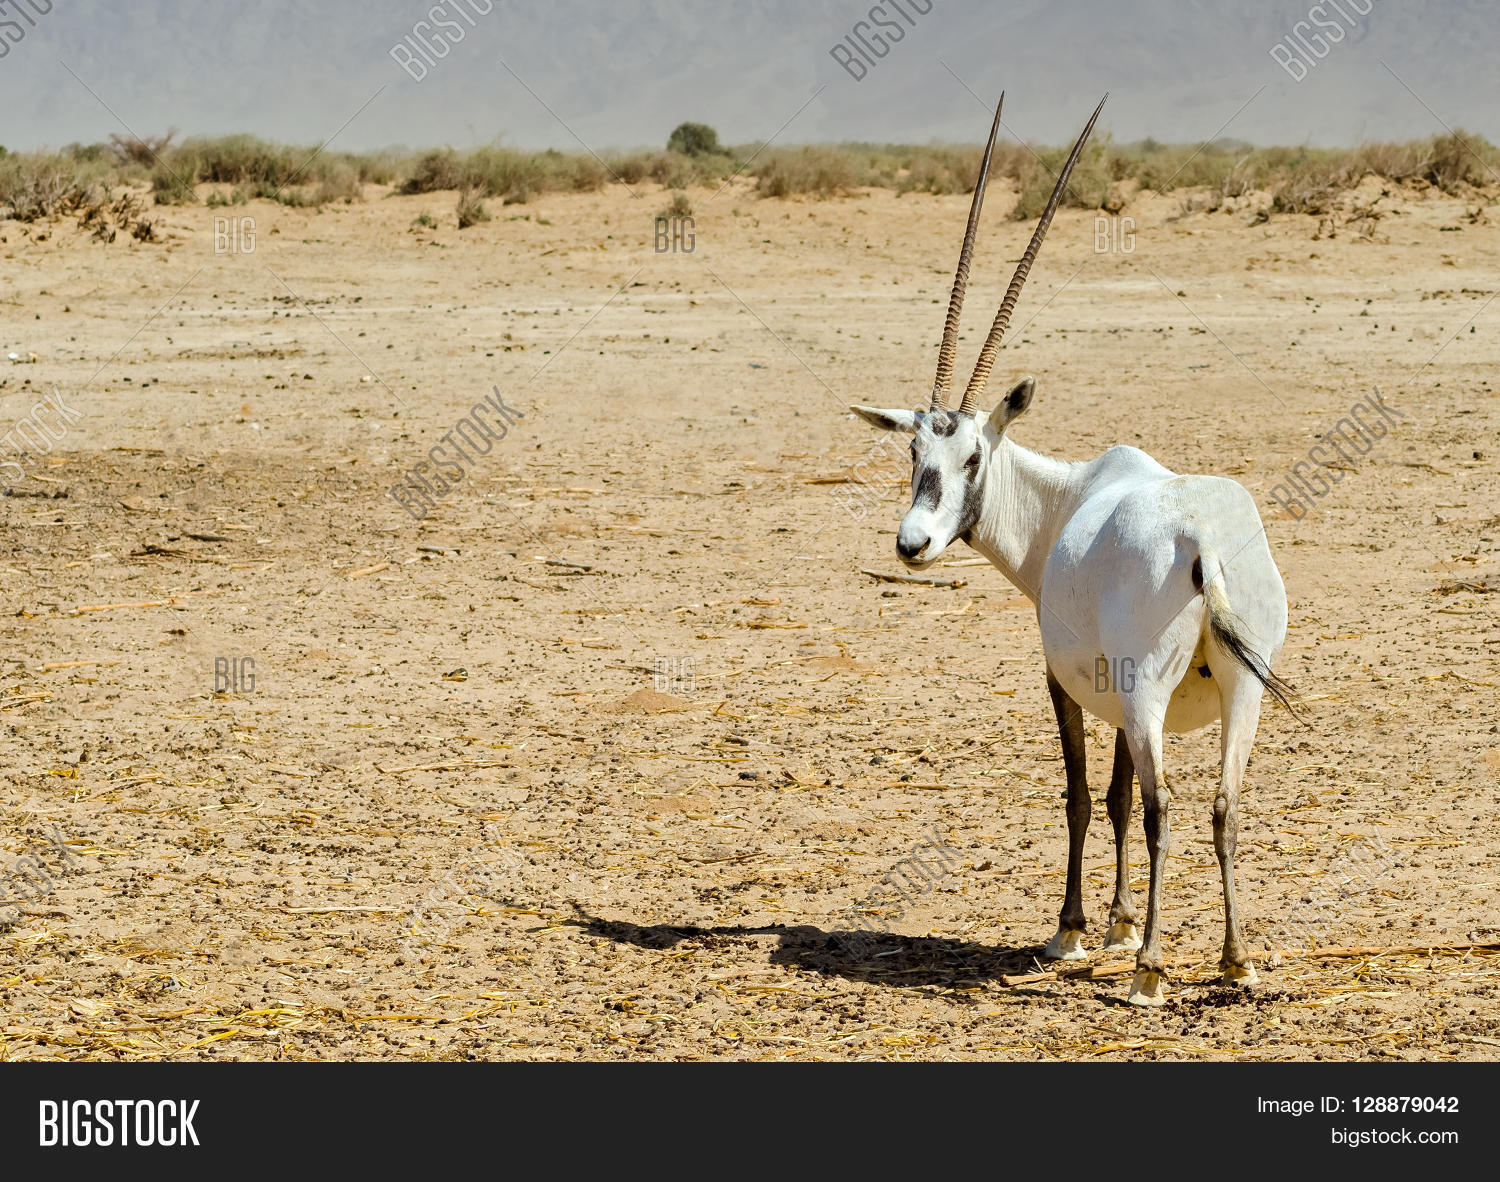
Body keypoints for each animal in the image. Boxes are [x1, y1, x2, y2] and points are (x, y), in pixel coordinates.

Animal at [850, 93, 1296, 1006]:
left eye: (972, 457)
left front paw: (1078, 929)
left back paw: (1153, 971)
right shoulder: (1117, 697)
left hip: (1155, 691)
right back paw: (1235, 958)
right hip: (1242, 689)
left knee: (1166, 806)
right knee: (1223, 804)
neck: (1066, 502)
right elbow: (1120, 794)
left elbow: (1088, 795)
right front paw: (1120, 922)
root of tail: (1202, 541)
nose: (912, 544)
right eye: (914, 452)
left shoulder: (1068, 682)